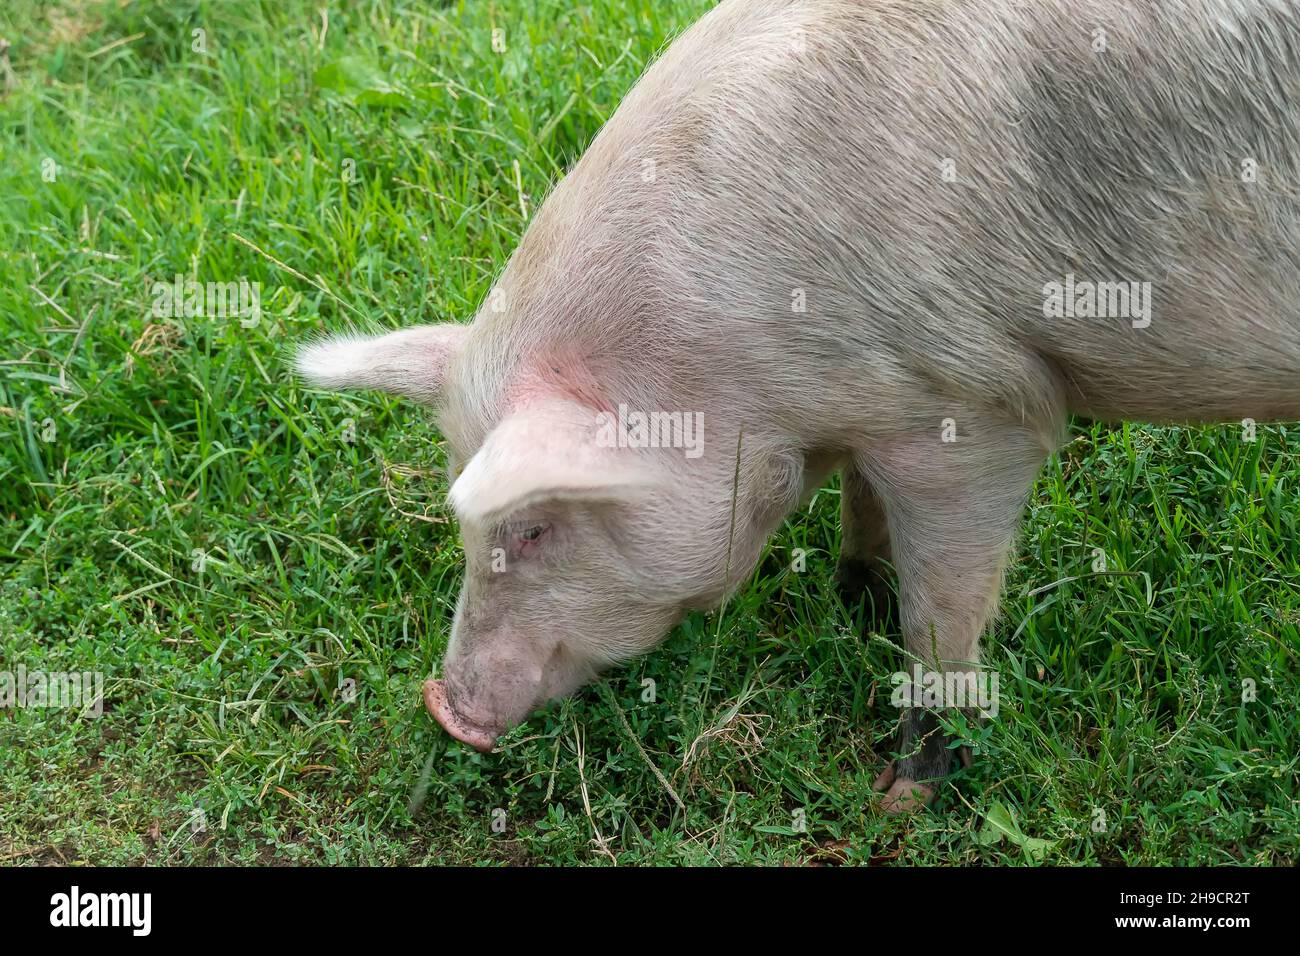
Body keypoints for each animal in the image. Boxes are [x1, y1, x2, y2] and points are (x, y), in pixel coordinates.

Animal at [297, 0, 1300, 812]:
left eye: (534, 528)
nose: (444, 708)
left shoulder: (976, 407)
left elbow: (941, 617)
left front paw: (899, 797)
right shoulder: (874, 404)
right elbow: (864, 508)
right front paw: (852, 593)